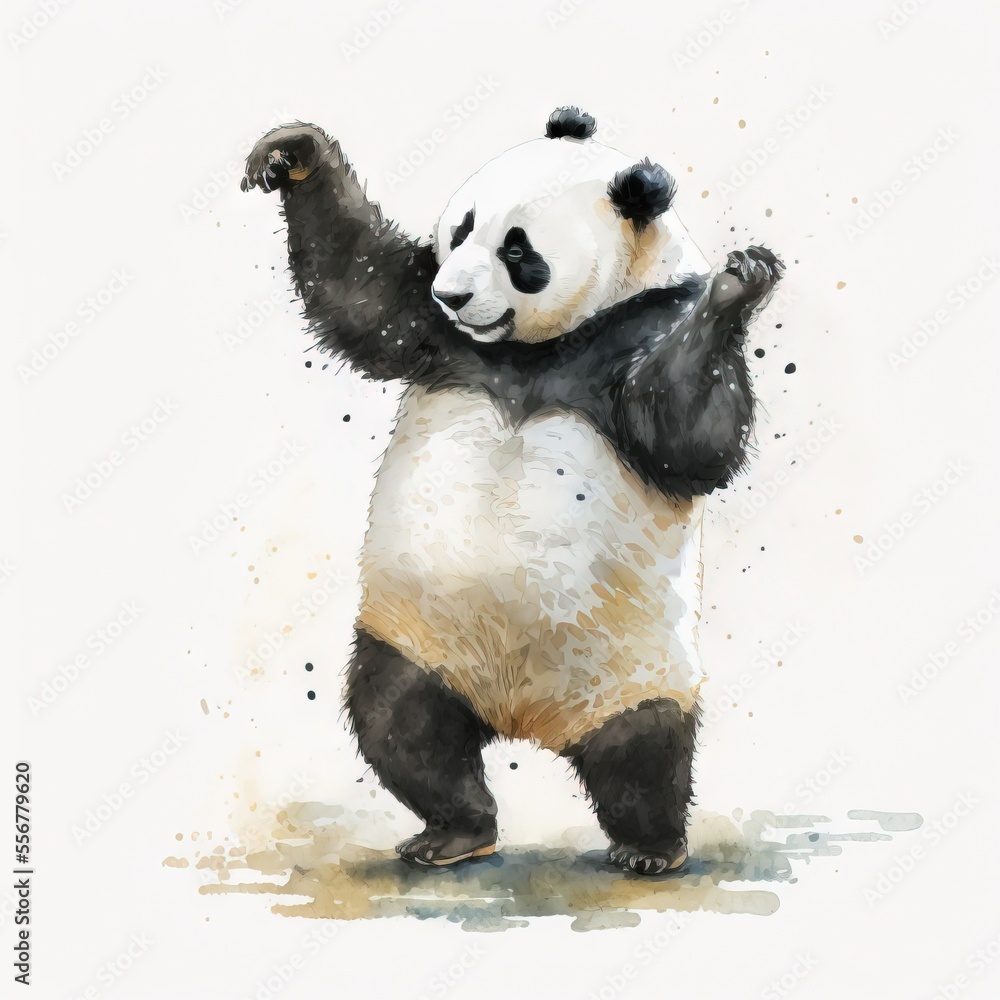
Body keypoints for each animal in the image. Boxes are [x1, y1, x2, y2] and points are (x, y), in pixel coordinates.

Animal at [242, 106, 781, 876]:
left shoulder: (642, 325)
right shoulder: (442, 338)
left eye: (519, 252)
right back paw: (454, 830)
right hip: (420, 639)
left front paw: (740, 287)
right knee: (400, 722)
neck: (536, 349)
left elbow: (689, 437)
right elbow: (364, 292)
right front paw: (293, 152)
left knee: (644, 755)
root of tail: (524, 719)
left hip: (638, 668)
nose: (454, 294)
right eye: (462, 228)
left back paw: (651, 848)